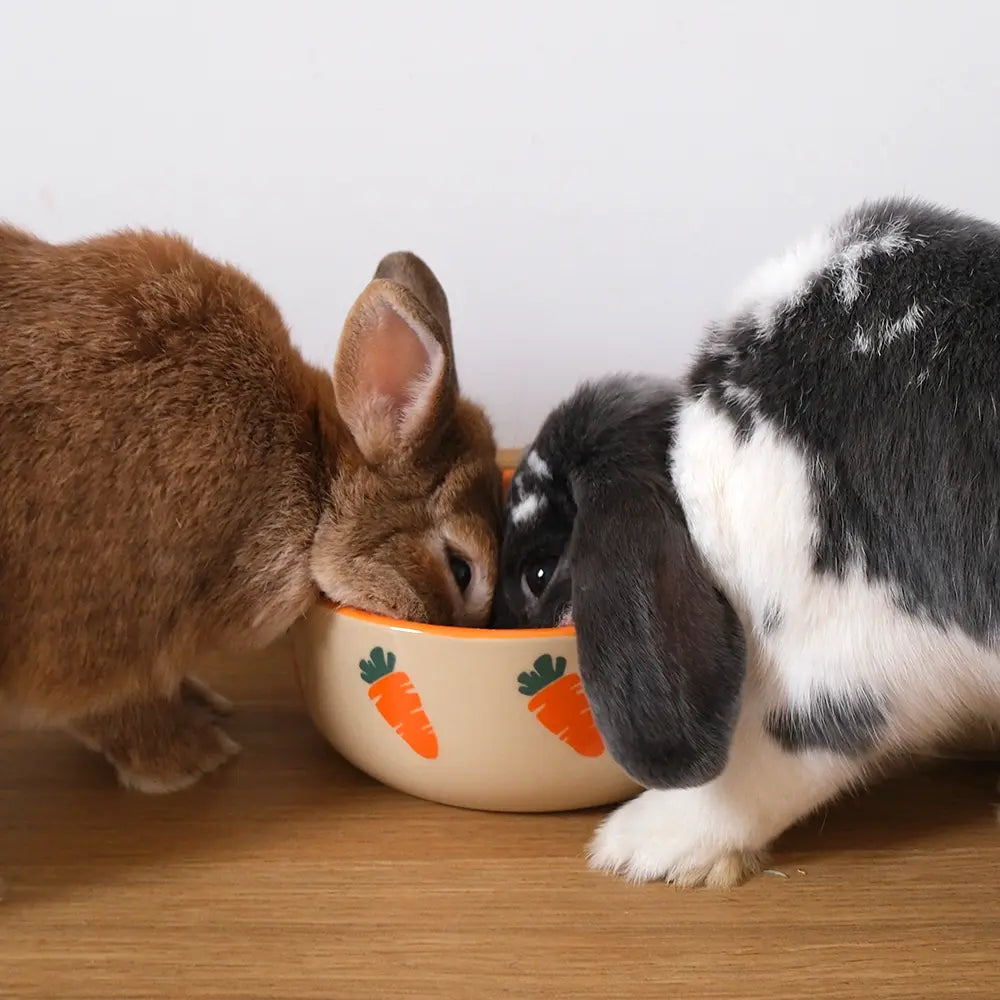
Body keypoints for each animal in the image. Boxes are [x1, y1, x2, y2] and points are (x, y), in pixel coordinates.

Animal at [0, 226, 502, 793]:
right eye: (461, 570)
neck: (313, 471)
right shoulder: (105, 632)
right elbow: (115, 709)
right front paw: (189, 760)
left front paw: (201, 703)